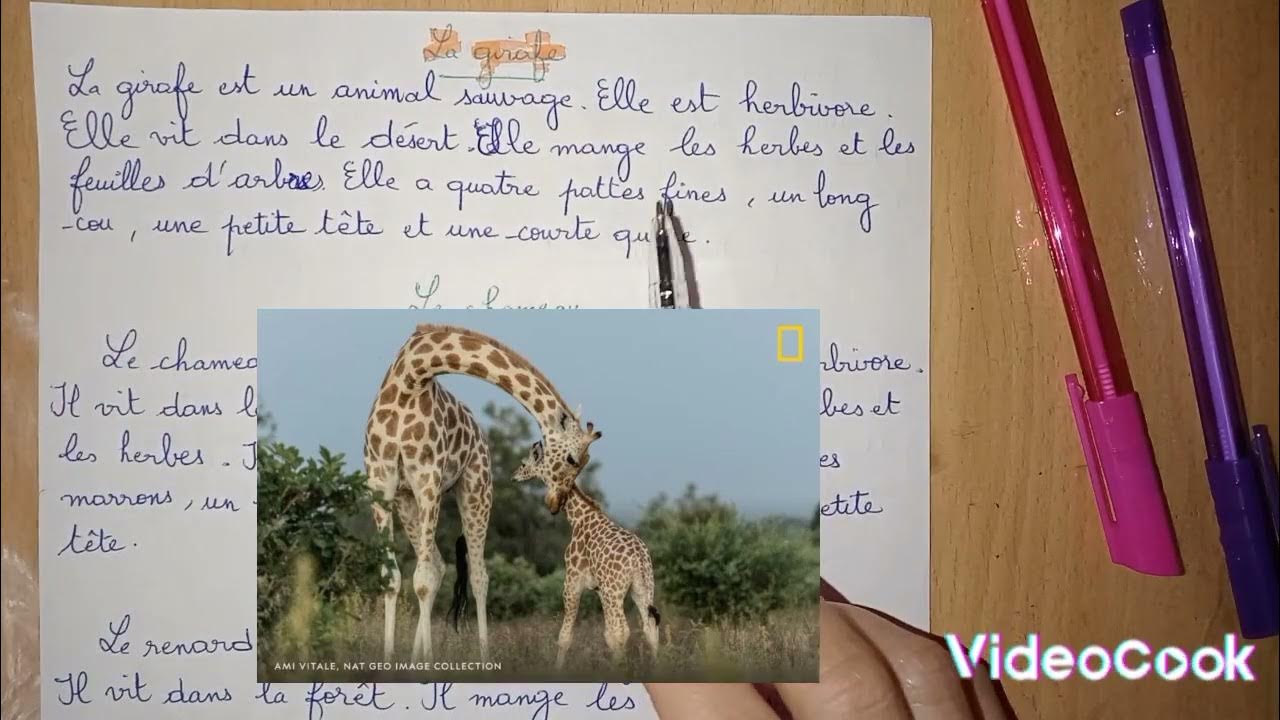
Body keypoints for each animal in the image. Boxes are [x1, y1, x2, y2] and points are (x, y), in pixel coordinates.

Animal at [364, 323, 601, 664]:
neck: (411, 377)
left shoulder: (428, 480)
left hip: (477, 489)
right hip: (407, 501)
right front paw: (390, 661)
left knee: (477, 576)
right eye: (573, 459)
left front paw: (428, 666)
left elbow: (422, 581)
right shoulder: (380, 482)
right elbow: (393, 578)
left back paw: (483, 657)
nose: (556, 502)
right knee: (438, 565)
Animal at [513, 438, 661, 670]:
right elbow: (608, 635)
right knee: (649, 628)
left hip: (615, 591)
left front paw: (557, 669)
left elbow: (565, 637)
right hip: (642, 587)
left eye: (523, 463)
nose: (514, 476)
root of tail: (638, 559)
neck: (577, 518)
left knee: (624, 629)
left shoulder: (572, 581)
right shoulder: (598, 588)